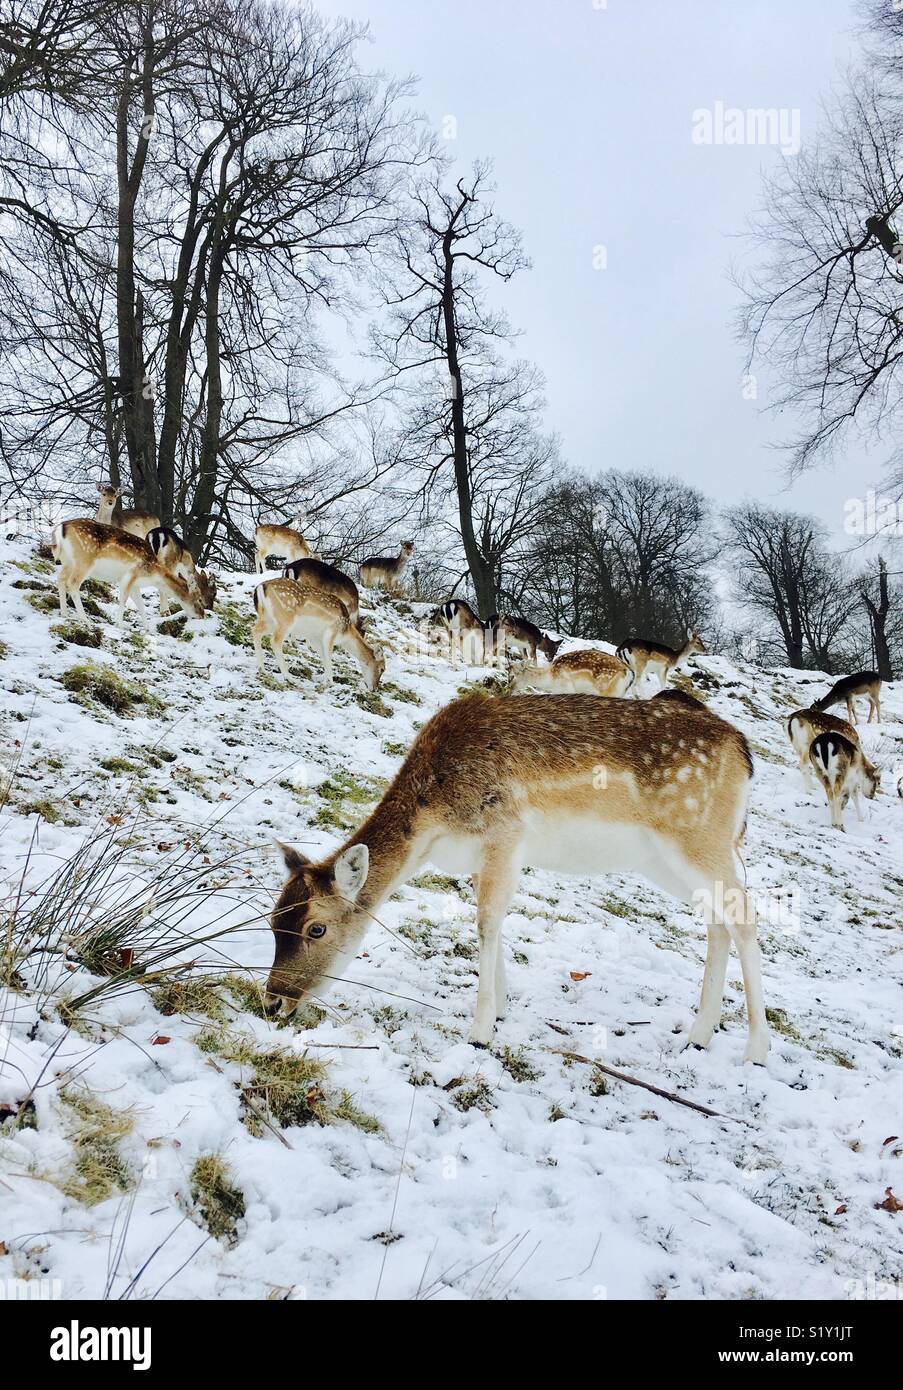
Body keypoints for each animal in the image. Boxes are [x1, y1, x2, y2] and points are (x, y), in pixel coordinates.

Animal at [51, 520, 205, 625]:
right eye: (199, 599)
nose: (202, 615)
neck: (151, 575)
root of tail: (60, 529)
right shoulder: (130, 575)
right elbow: (123, 599)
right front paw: (120, 625)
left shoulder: (135, 584)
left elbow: (140, 604)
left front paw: (148, 629)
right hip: (84, 561)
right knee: (72, 583)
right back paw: (85, 620)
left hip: (67, 562)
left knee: (61, 578)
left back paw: (64, 613)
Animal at [252, 579, 385, 690]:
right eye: (382, 668)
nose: (374, 688)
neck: (345, 633)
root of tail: (261, 587)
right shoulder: (330, 633)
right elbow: (329, 657)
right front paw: (331, 683)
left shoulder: (315, 638)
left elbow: (323, 657)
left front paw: (326, 681)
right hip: (285, 619)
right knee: (275, 641)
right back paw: (289, 677)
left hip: (268, 620)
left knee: (256, 630)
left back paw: (262, 669)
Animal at [266, 691, 769, 1065]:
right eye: (272, 921)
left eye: (316, 928)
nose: (272, 1002)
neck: (434, 821)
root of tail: (744, 752)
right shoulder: (478, 856)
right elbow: (493, 923)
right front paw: (503, 1010)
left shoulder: (504, 833)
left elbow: (487, 922)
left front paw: (479, 1031)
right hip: (663, 860)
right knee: (717, 918)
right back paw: (699, 1035)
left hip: (700, 836)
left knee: (746, 912)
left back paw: (755, 1050)